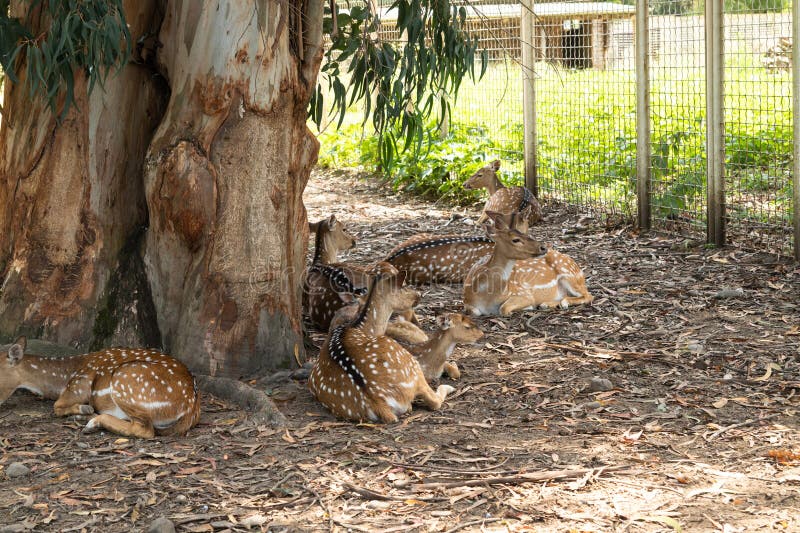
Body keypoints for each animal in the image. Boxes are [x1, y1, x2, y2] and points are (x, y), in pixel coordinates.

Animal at [0, 337, 201, 439]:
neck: (63, 377)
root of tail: (191, 407)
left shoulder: (80, 384)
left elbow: (56, 406)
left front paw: (84, 409)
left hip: (125, 379)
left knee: (144, 429)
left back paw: (92, 421)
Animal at [308, 262, 456, 423]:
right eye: (403, 285)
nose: (419, 295)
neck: (361, 327)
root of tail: (378, 402)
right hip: (411, 365)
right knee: (433, 400)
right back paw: (448, 387)